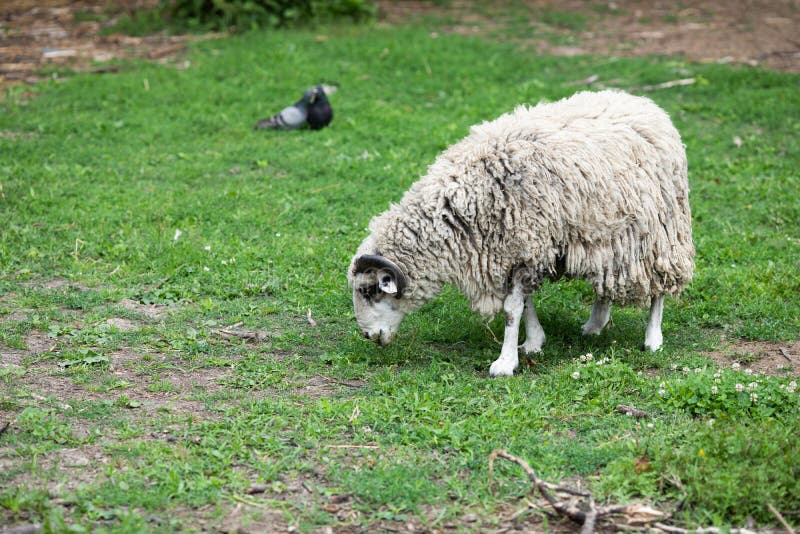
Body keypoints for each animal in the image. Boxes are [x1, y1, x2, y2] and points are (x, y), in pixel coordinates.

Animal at [348, 90, 694, 377]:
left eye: (370, 291)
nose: (368, 336)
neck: (464, 202)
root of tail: (644, 103)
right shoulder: (516, 251)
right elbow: (524, 304)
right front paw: (533, 342)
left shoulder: (525, 245)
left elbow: (511, 310)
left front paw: (505, 362)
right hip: (605, 234)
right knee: (604, 277)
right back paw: (596, 323)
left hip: (661, 229)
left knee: (660, 283)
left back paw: (653, 338)